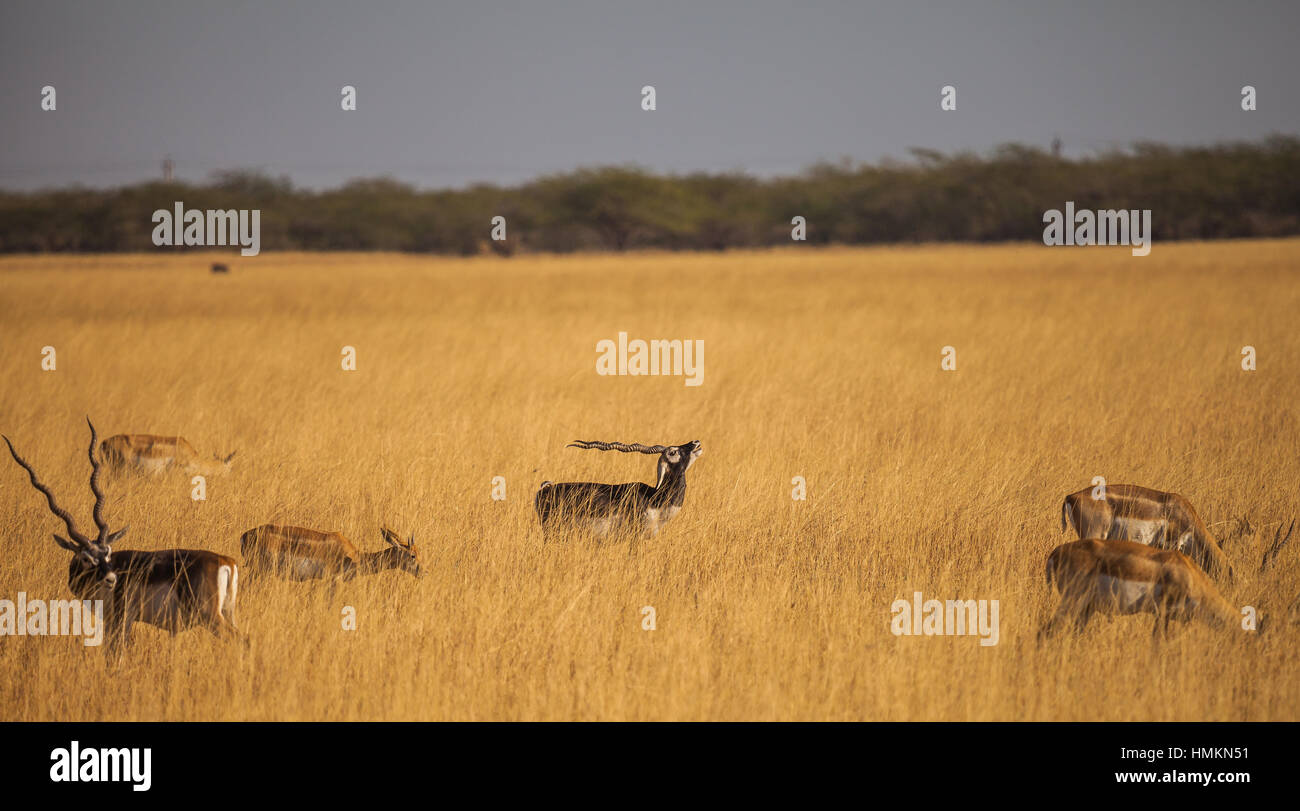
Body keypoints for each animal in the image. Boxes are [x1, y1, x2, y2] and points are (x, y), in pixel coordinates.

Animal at [1040, 522, 1294, 641]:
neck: (1190, 576)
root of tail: (1055, 553)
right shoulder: (1162, 614)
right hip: (1072, 602)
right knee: (1045, 631)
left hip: (1086, 609)